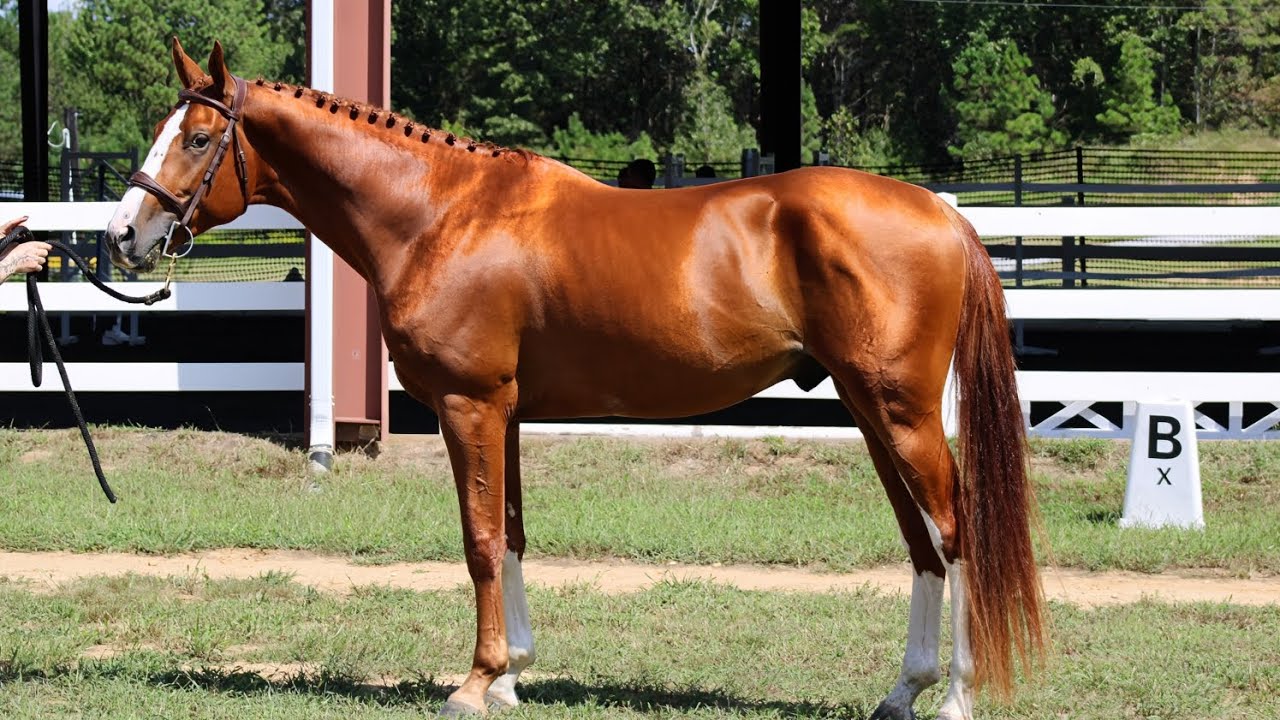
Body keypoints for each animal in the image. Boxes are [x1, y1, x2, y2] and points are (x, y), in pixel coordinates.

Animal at [104, 39, 1044, 720]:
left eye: (197, 139)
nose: (124, 235)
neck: (439, 213)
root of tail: (943, 212)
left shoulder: (469, 405)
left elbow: (480, 540)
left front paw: (474, 683)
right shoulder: (507, 412)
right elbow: (514, 535)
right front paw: (514, 676)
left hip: (902, 412)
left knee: (955, 532)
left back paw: (956, 697)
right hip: (872, 411)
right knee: (922, 544)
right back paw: (903, 692)